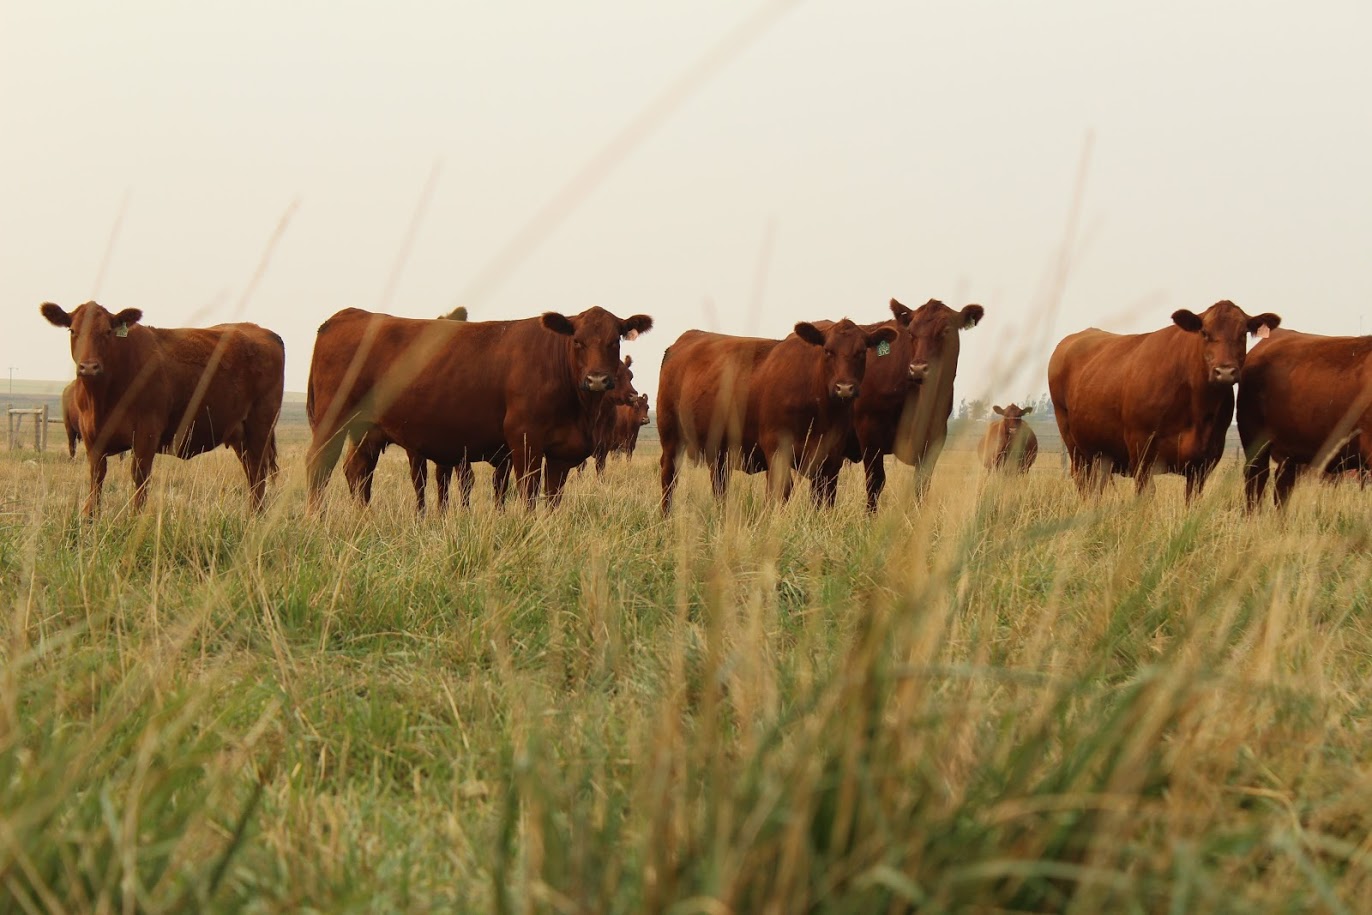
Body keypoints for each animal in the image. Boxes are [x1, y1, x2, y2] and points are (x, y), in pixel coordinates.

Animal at [40, 300, 285, 515]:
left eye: (108, 331)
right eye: (73, 330)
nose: (89, 367)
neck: (102, 399)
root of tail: (263, 331)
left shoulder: (146, 434)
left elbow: (140, 478)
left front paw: (134, 519)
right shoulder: (93, 439)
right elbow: (96, 479)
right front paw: (91, 519)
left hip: (260, 428)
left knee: (258, 473)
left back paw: (255, 518)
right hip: (239, 435)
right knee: (252, 473)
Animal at [306, 306, 652, 510]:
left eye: (614, 341)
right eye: (578, 341)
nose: (597, 379)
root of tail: (348, 314)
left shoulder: (561, 452)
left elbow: (552, 498)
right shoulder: (524, 441)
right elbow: (527, 493)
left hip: (367, 431)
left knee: (357, 471)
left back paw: (362, 521)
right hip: (332, 422)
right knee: (319, 467)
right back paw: (317, 520)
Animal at [656, 319, 898, 512]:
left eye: (862, 352)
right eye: (828, 351)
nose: (844, 388)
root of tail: (686, 338)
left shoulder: (831, 458)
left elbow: (824, 498)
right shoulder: (777, 449)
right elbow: (781, 492)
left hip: (719, 451)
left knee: (719, 485)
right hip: (671, 438)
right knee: (669, 478)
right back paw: (666, 518)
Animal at [1048, 300, 1281, 500]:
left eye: (1243, 334)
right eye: (1204, 332)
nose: (1225, 372)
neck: (1197, 405)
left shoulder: (1204, 461)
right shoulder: (1141, 450)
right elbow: (1146, 494)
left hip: (1101, 454)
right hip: (1075, 446)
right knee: (1084, 483)